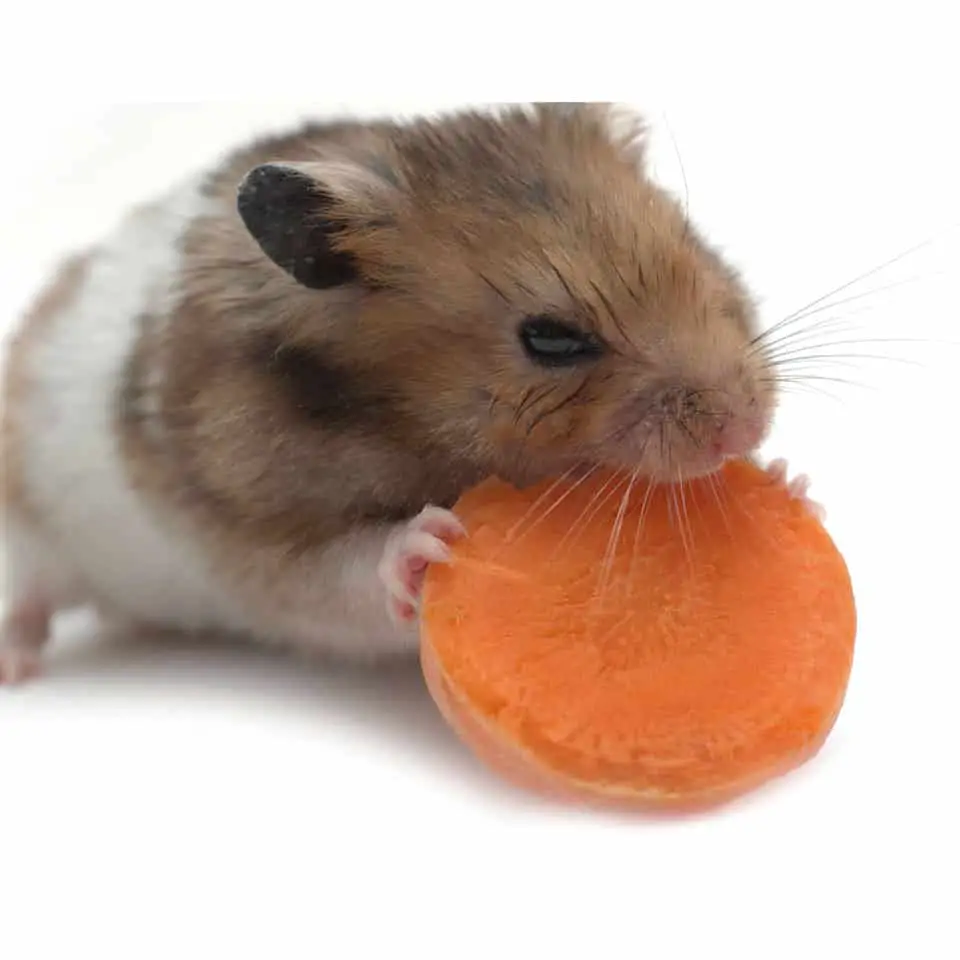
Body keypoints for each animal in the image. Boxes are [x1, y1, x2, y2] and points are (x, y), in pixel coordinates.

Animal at [0, 102, 817, 684]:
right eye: (550, 339)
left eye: (698, 252)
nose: (747, 428)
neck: (398, 423)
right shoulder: (251, 528)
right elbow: (339, 577)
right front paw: (428, 547)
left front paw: (790, 482)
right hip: (27, 530)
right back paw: (19, 667)